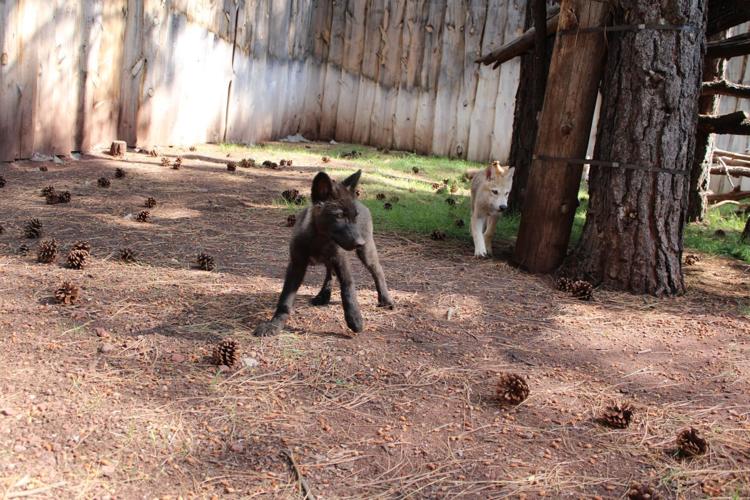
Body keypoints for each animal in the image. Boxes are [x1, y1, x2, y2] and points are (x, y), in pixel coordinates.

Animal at [253, 170, 394, 337]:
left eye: (354, 217)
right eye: (339, 216)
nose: (360, 242)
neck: (319, 240)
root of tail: (361, 202)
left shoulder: (341, 261)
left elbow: (348, 290)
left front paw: (355, 319)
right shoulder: (296, 264)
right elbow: (285, 298)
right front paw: (275, 324)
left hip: (366, 253)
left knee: (377, 271)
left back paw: (385, 300)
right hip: (332, 259)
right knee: (330, 274)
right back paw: (323, 295)